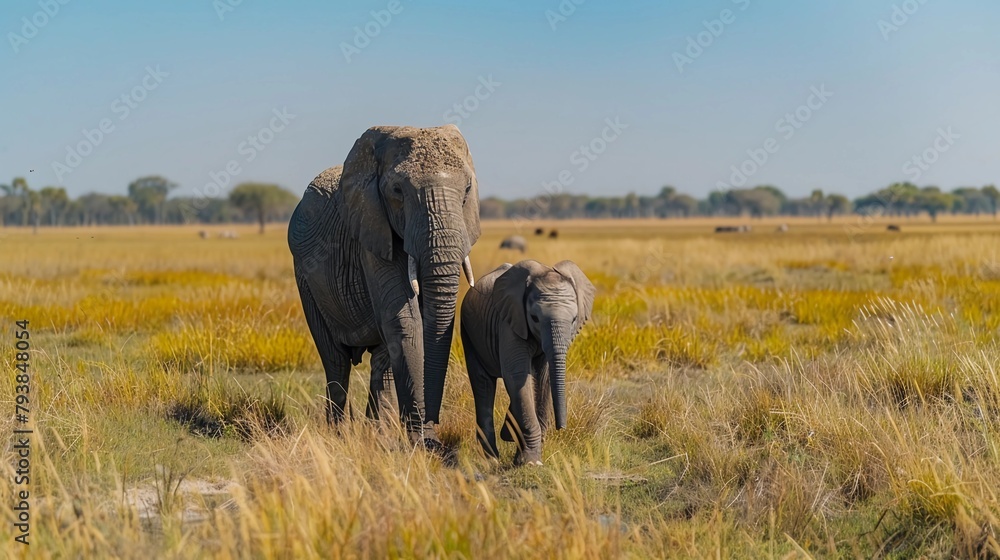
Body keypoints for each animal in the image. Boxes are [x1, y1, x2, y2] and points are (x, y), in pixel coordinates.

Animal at [288, 125, 481, 446]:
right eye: (397, 191)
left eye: (467, 190)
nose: (434, 429)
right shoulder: (371, 232)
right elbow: (404, 319)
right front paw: (422, 443)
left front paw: (419, 440)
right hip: (304, 277)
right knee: (335, 360)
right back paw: (339, 434)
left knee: (381, 358)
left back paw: (377, 431)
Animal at [460, 259, 595, 465]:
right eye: (534, 318)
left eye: (574, 319)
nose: (561, 427)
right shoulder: (510, 323)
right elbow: (517, 375)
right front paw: (531, 462)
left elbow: (544, 379)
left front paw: (522, 456)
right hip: (468, 333)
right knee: (482, 385)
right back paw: (490, 460)